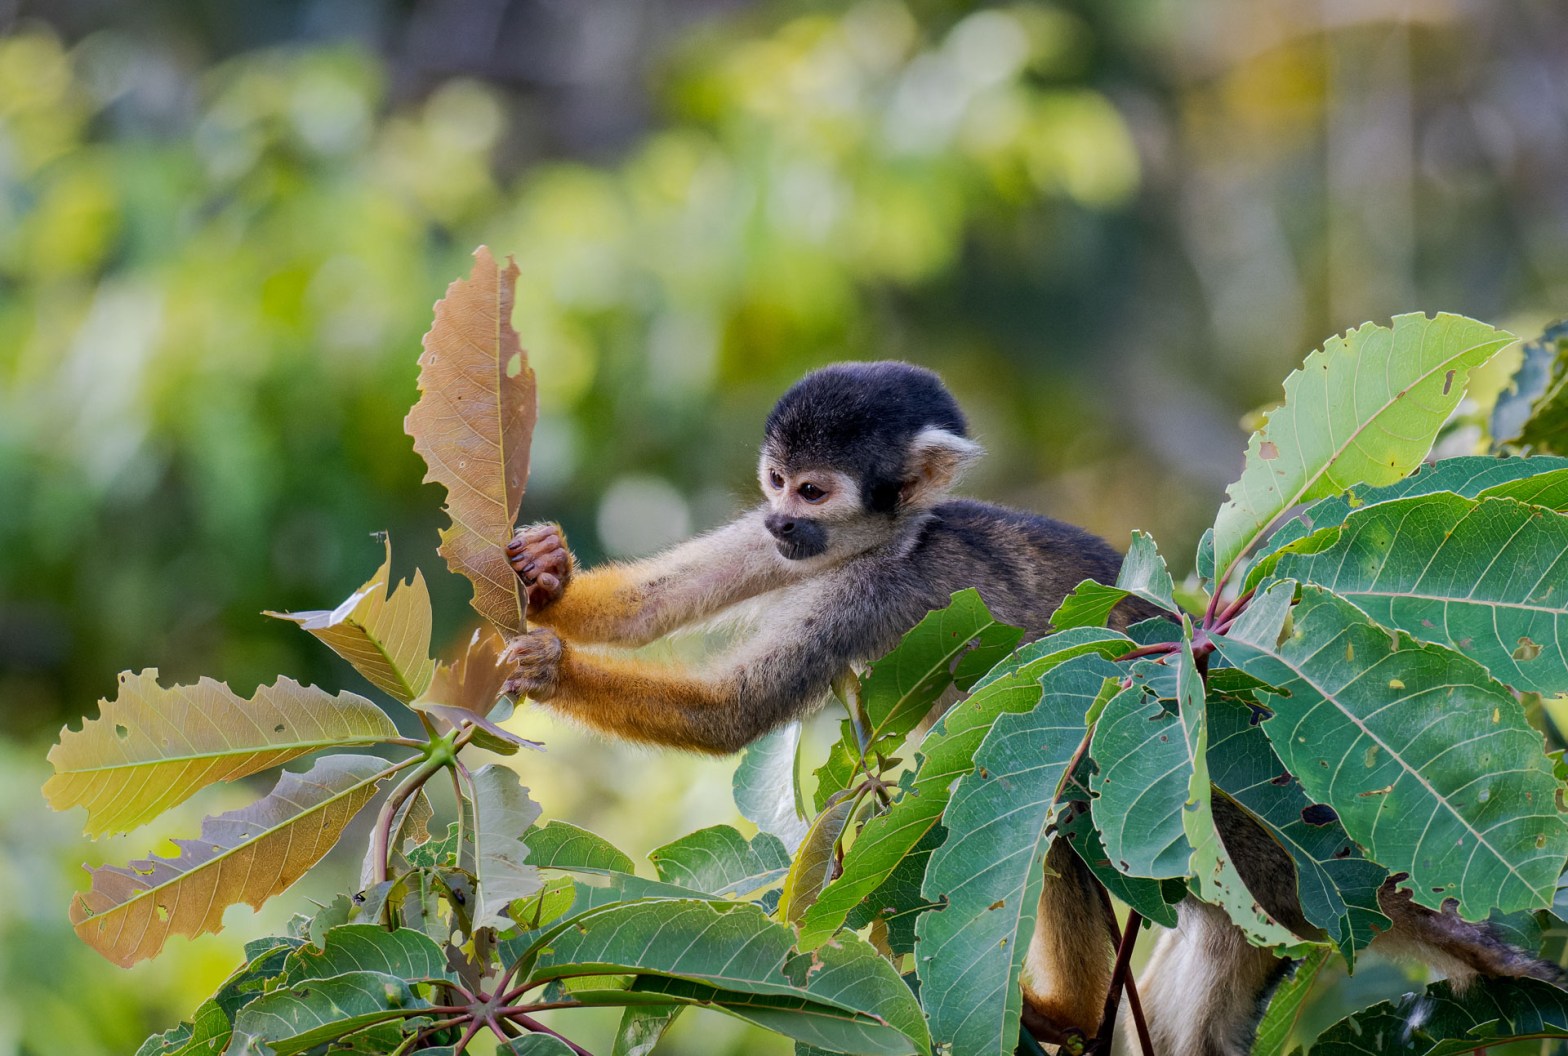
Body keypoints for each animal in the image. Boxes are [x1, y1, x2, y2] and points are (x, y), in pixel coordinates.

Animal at [498, 360, 1562, 1053]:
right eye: (774, 485)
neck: (895, 536)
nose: (779, 520)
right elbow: (656, 607)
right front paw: (548, 579)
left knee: (1056, 805)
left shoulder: (884, 591)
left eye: (813, 488)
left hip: (1228, 838)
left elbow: (731, 713)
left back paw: (1071, 1013)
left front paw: (549, 665)